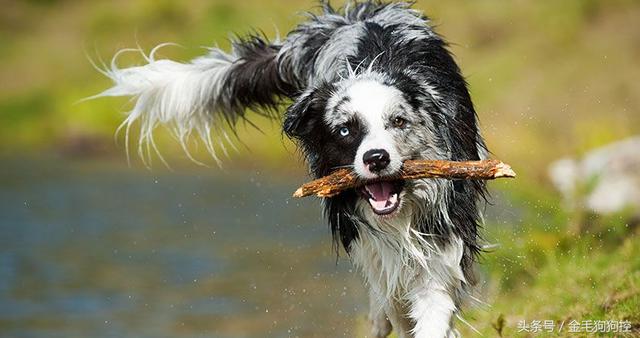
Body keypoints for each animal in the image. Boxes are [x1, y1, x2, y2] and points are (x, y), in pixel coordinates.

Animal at [92, 1, 488, 336]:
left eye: (398, 121)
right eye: (346, 130)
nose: (376, 158)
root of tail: (349, 17)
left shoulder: (440, 248)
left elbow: (432, 305)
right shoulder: (375, 247)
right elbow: (395, 301)